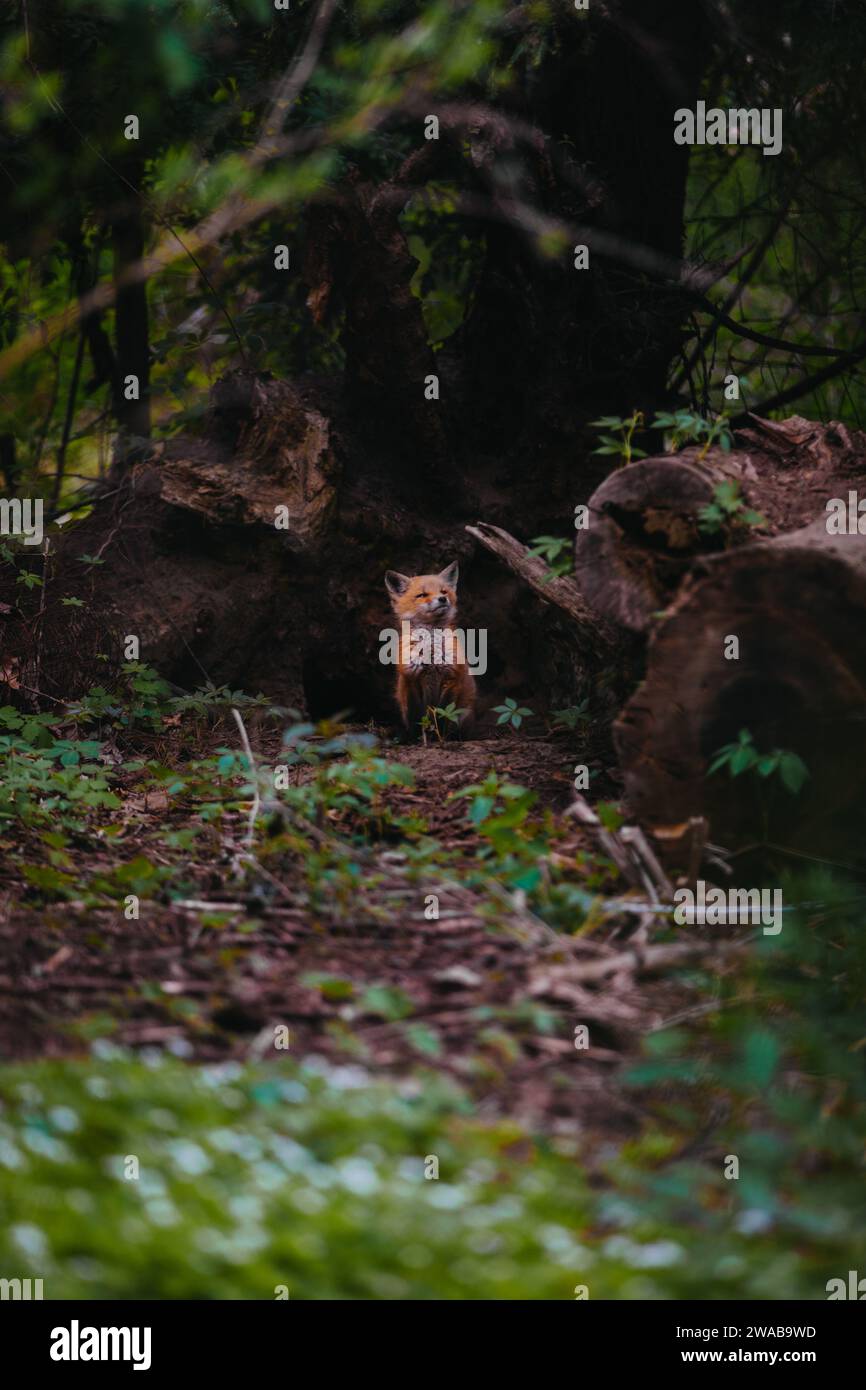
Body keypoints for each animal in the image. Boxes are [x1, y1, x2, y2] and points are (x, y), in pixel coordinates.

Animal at [384, 561, 476, 737]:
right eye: (422, 595)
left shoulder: (451, 678)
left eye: (443, 591)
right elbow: (416, 716)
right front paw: (417, 738)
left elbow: (444, 713)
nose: (442, 599)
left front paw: (442, 738)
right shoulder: (411, 679)